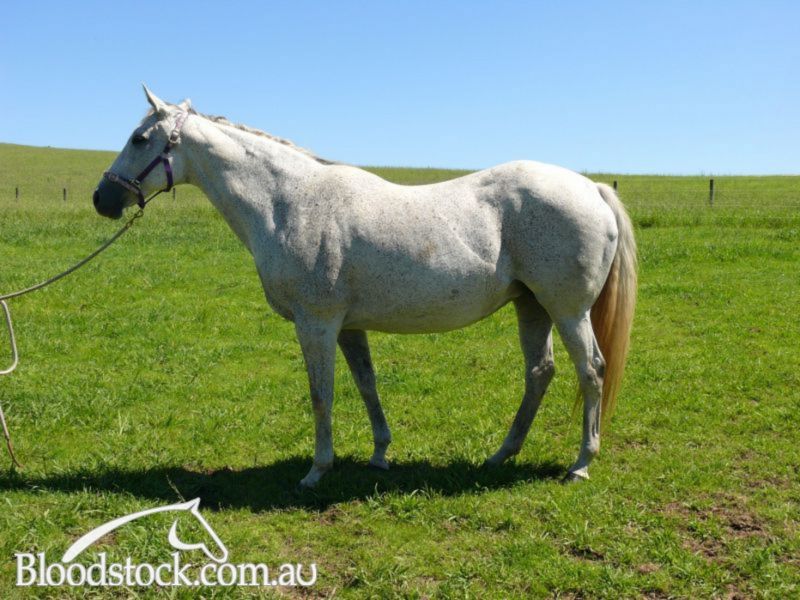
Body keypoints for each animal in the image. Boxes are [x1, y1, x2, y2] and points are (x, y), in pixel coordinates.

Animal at [93, 87, 637, 488]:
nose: (102, 198)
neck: (290, 203)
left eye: (139, 138)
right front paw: (379, 454)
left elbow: (322, 394)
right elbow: (366, 385)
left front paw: (317, 471)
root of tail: (591, 188)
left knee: (591, 371)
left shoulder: (316, 325)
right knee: (540, 372)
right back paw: (501, 454)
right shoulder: (349, 327)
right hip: (532, 306)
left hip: (567, 311)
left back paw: (580, 464)